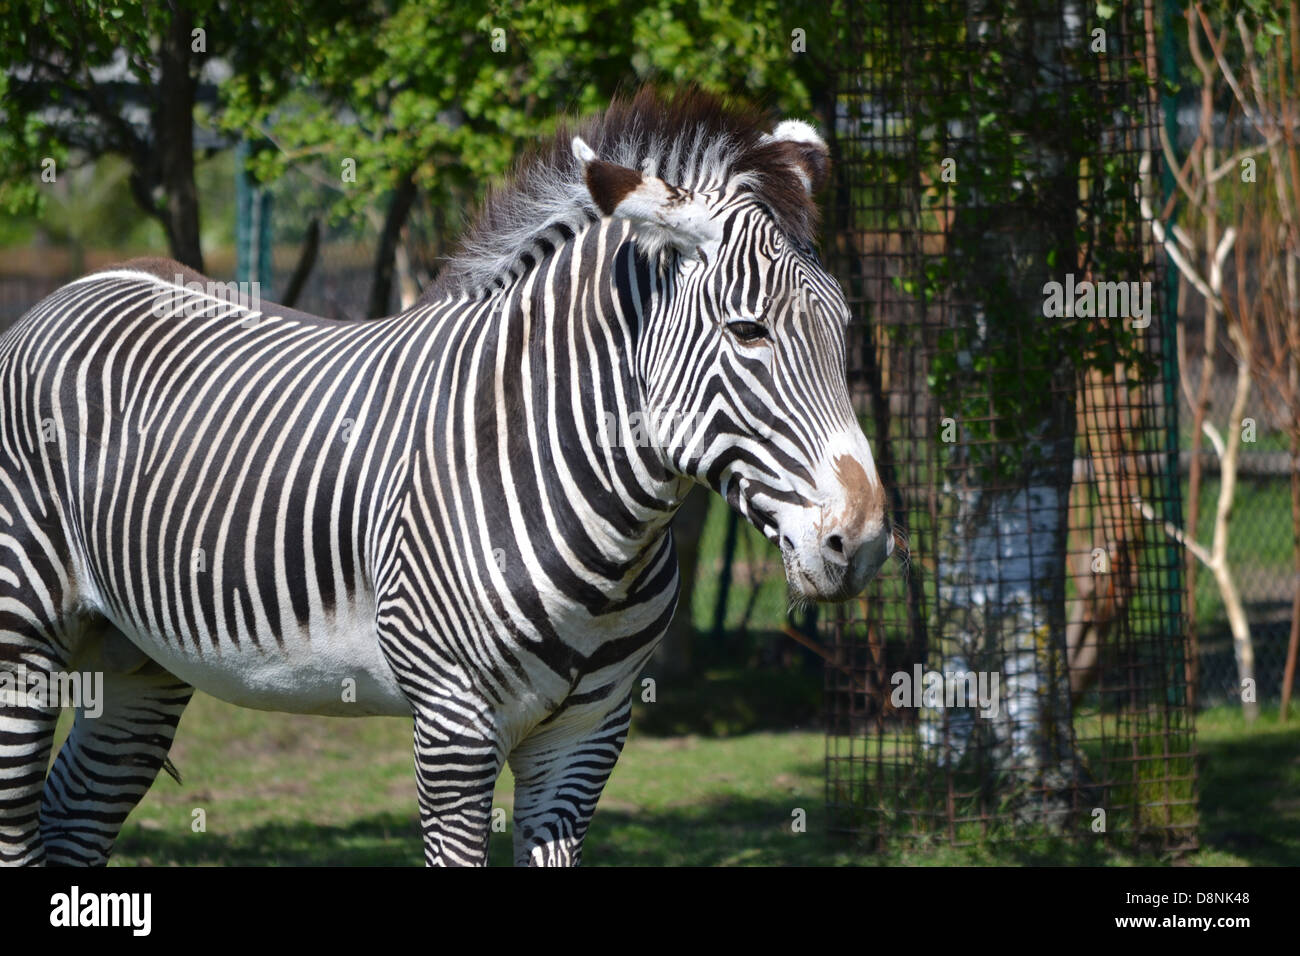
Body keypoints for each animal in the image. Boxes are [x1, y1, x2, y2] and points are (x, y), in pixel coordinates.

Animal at [0, 87, 891, 866]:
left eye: (847, 324)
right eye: (748, 332)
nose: (866, 542)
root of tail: (72, 291)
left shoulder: (587, 736)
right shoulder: (454, 725)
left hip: (136, 659)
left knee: (71, 815)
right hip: (21, 641)